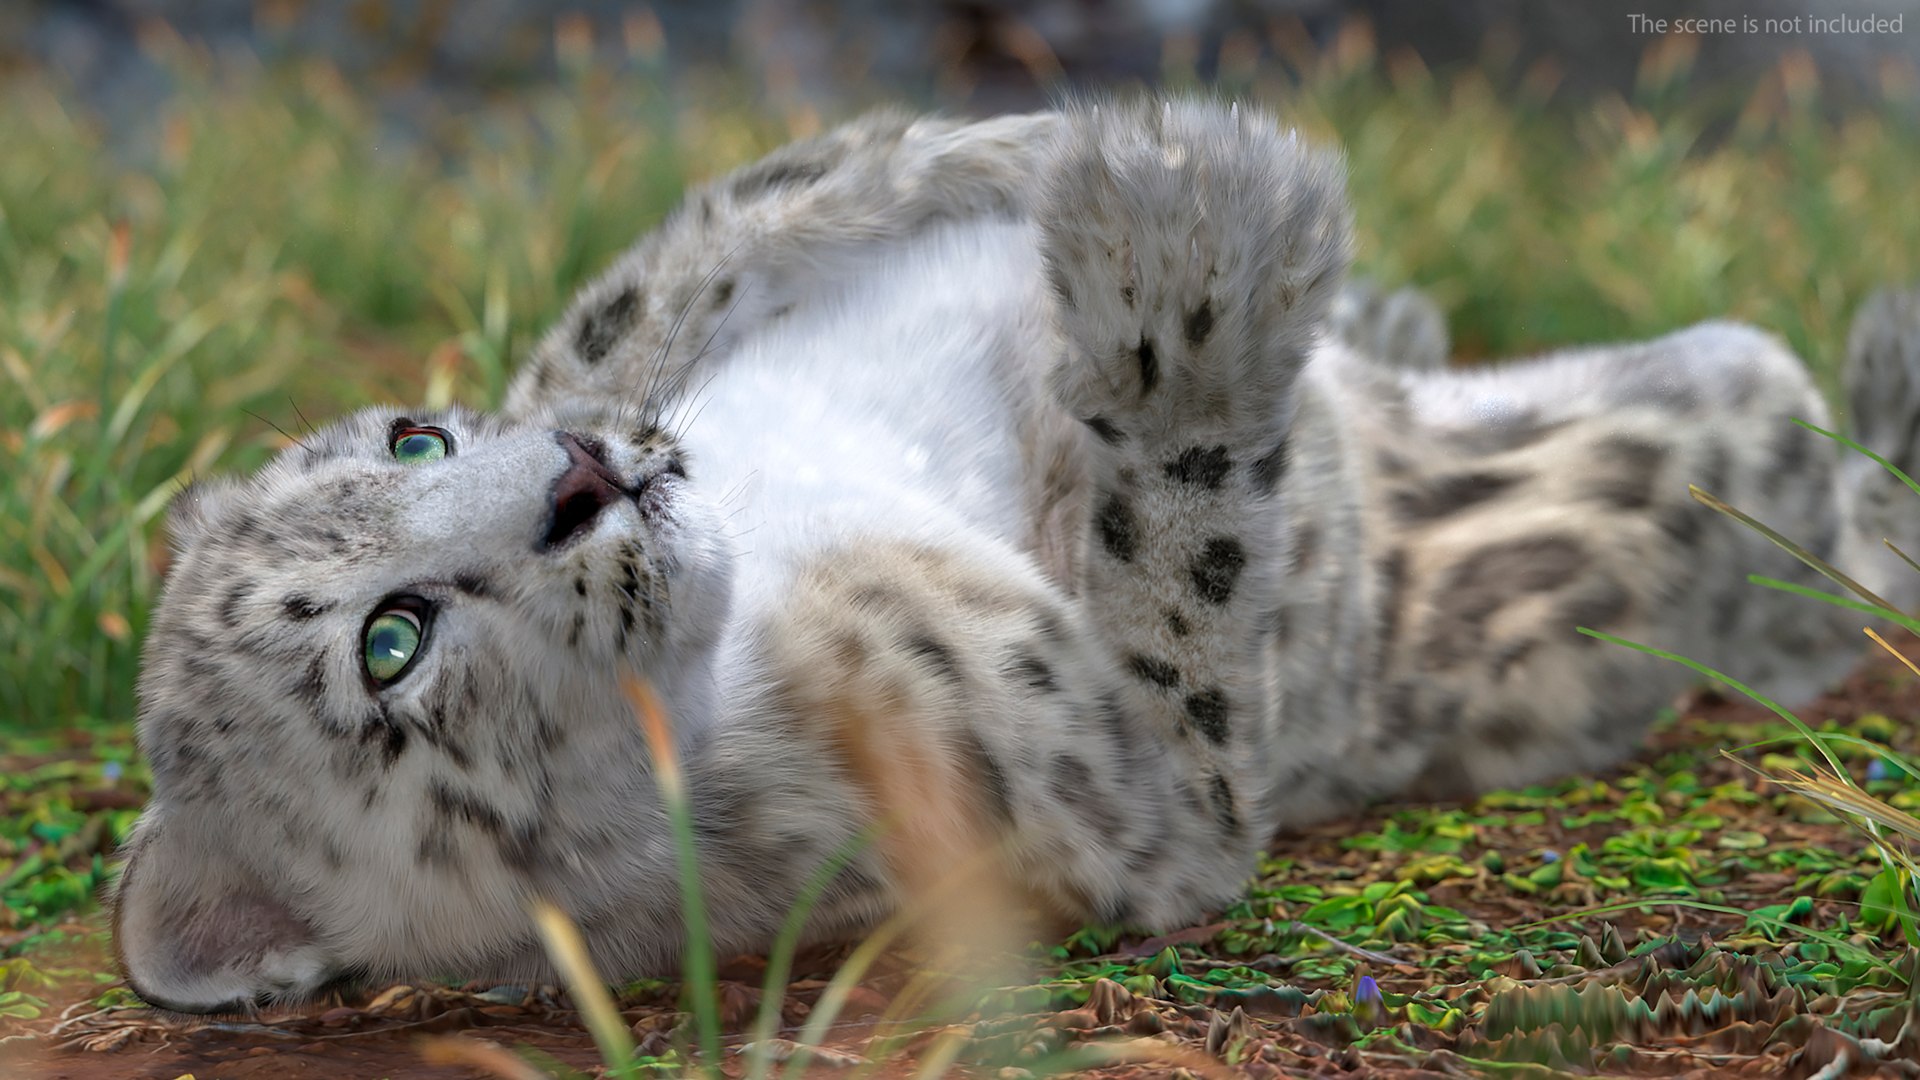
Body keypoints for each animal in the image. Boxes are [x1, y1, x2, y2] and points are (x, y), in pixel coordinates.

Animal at [112, 97, 1920, 1015]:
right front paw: (1192, 269)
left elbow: (671, 259)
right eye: (389, 646)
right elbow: (1171, 594)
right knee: (1832, 528)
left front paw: (1046, 141)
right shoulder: (1148, 804)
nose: (579, 478)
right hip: (1705, 445)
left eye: (415, 441)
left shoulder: (606, 339)